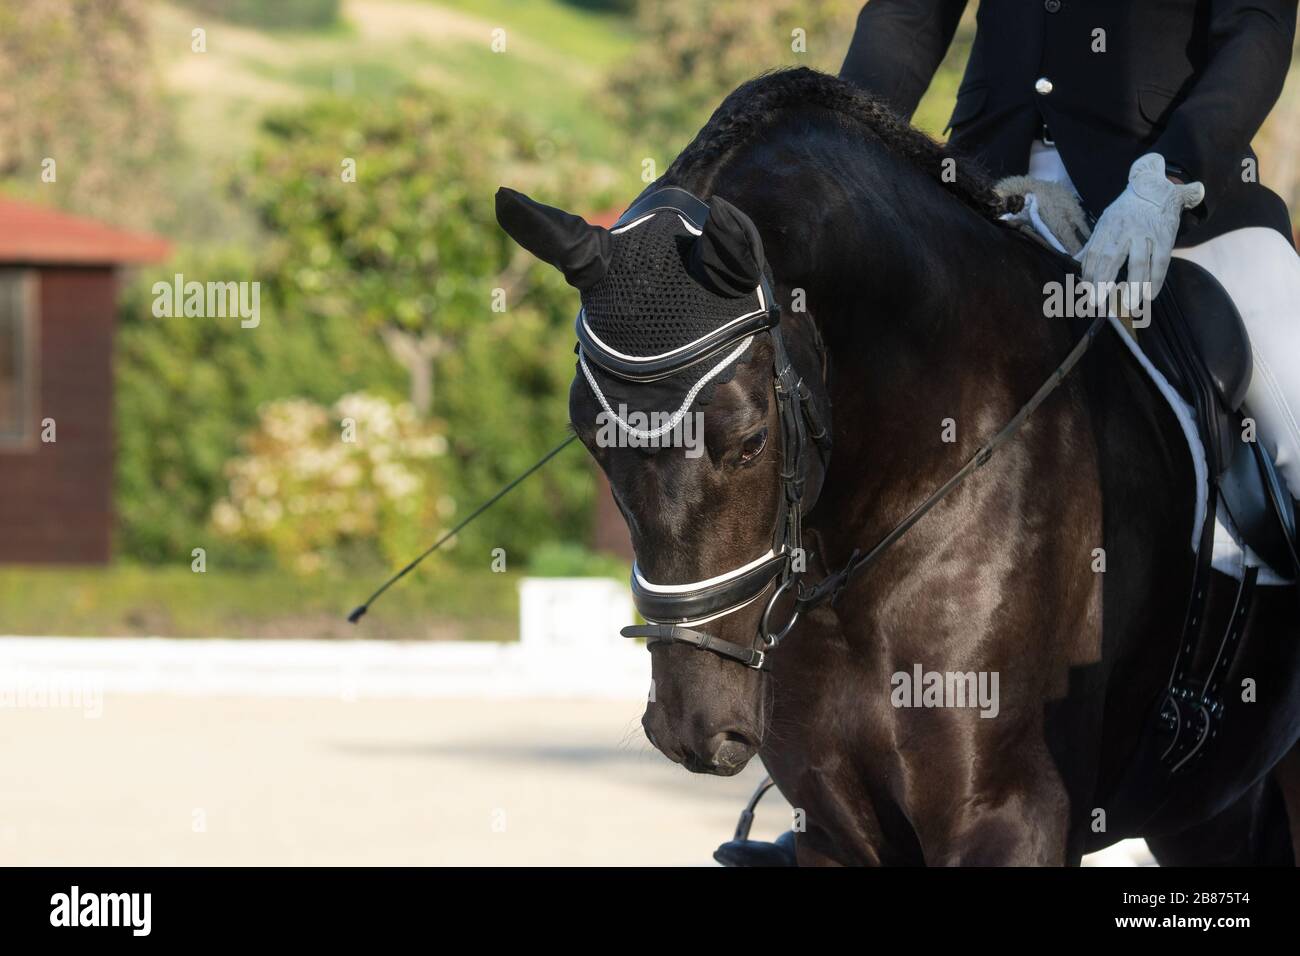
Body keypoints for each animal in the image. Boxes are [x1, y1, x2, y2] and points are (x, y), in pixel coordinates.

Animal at [495, 67, 1300, 866]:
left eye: (750, 440)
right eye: (591, 441)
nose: (692, 729)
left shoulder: (1014, 817)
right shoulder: (833, 826)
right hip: (1208, 815)